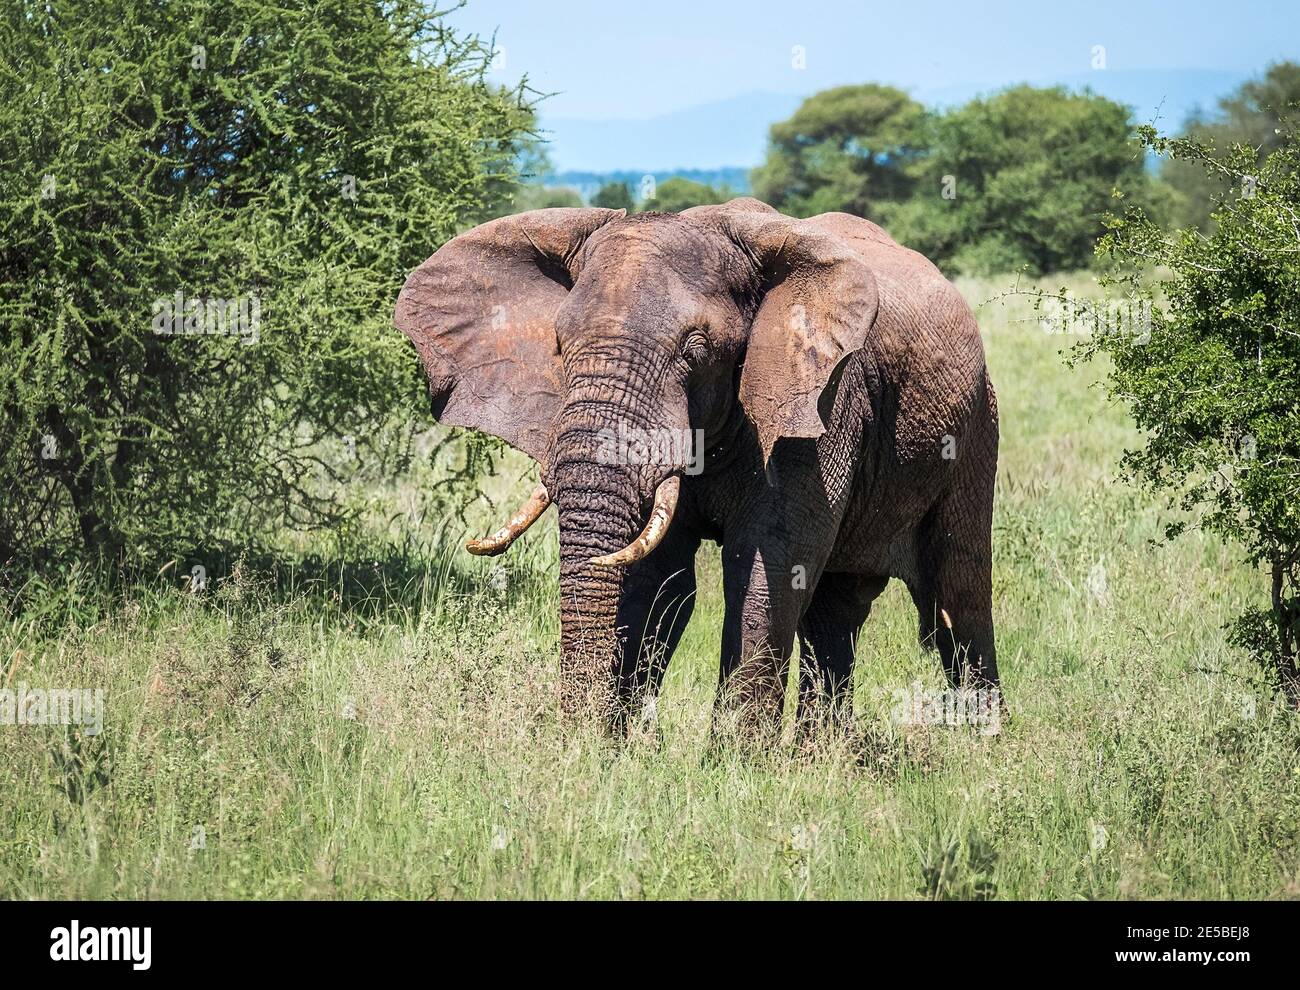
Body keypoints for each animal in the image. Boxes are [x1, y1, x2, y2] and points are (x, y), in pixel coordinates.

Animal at [394, 197, 1000, 736]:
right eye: (560, 346)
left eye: (696, 350)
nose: (571, 743)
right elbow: (657, 580)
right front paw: (611, 754)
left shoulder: (822, 401)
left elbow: (765, 572)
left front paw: (734, 769)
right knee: (838, 611)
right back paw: (821, 756)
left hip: (974, 427)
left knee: (959, 592)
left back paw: (979, 747)